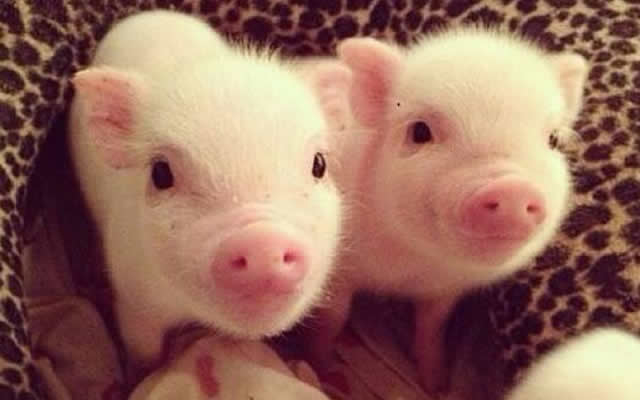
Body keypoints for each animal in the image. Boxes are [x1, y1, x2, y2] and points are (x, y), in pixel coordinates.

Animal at [68, 10, 351, 371]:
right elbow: (143, 350)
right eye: (161, 173)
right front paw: (145, 374)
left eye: (319, 164)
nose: (263, 242)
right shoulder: (133, 299)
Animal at [303, 25, 587, 395]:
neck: (411, 267)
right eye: (420, 131)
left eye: (553, 139)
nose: (511, 188)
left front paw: (435, 385)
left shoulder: (444, 290)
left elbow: (432, 327)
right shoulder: (339, 271)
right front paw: (322, 373)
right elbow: (332, 318)